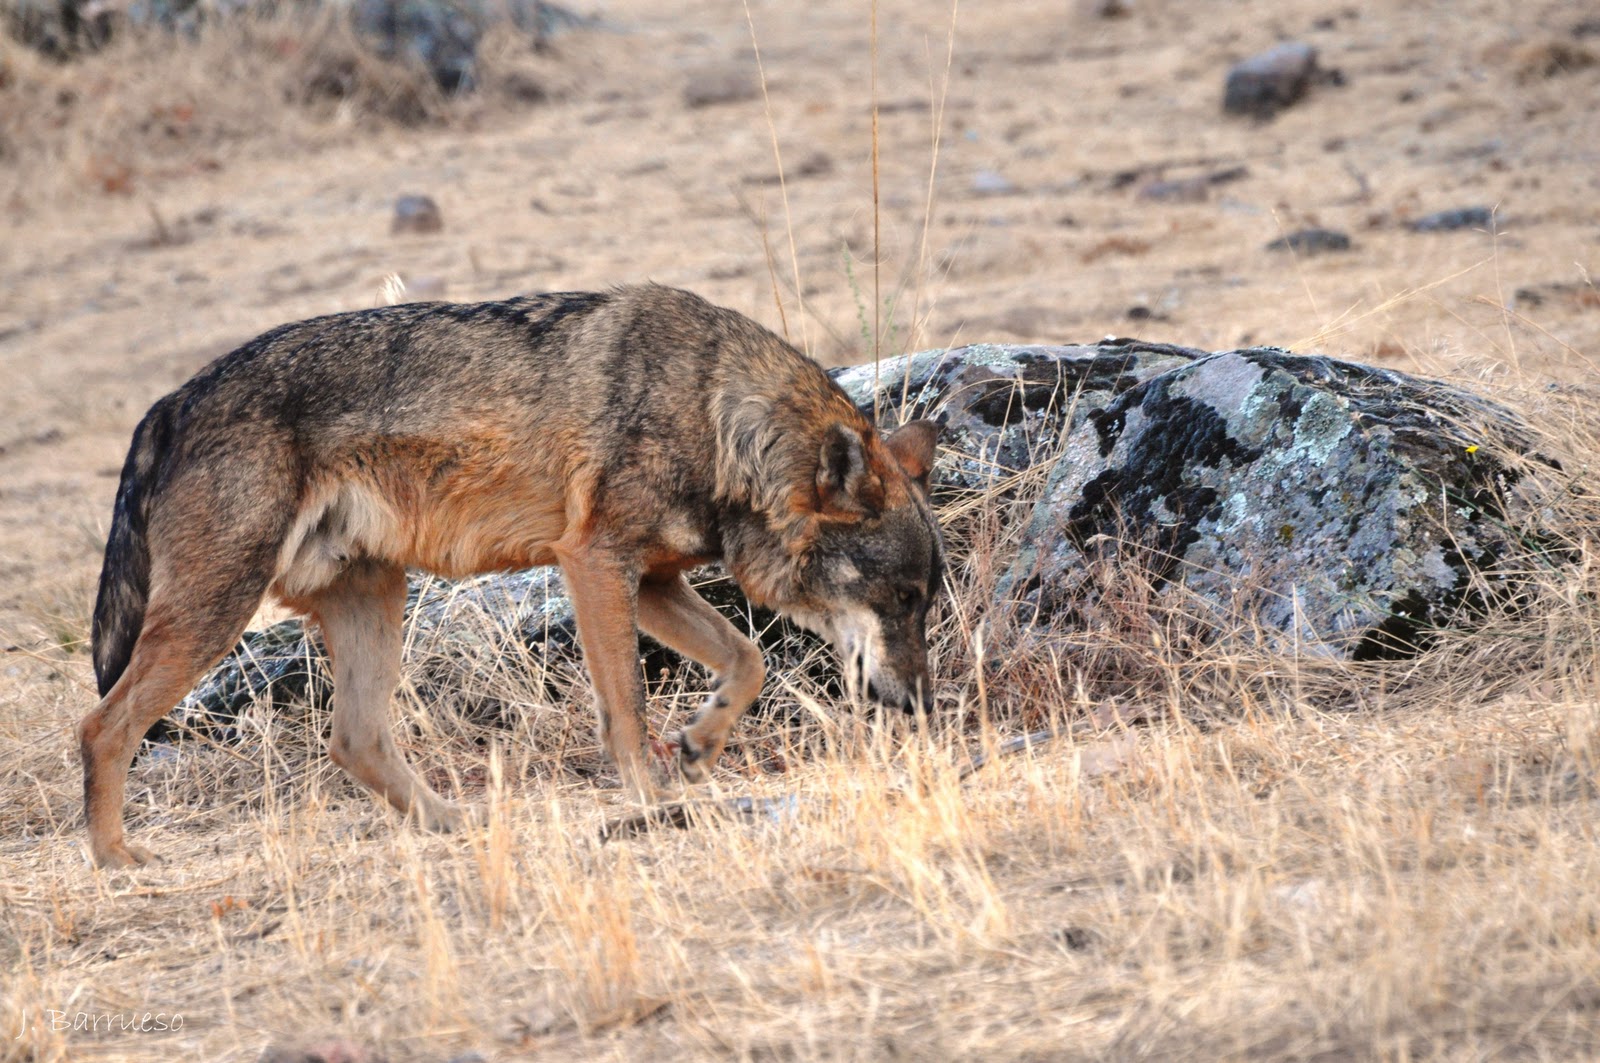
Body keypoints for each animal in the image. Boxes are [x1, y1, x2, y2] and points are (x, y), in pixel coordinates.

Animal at [78, 284, 943, 868]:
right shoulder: (594, 562)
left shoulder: (654, 581)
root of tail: (167, 403)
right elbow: (627, 708)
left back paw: (450, 823)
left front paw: (699, 744)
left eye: (925, 603)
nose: (923, 705)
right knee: (101, 727)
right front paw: (651, 797)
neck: (717, 415)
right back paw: (117, 859)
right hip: (218, 614)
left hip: (373, 602)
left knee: (353, 739)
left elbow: (748, 658)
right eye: (901, 598)